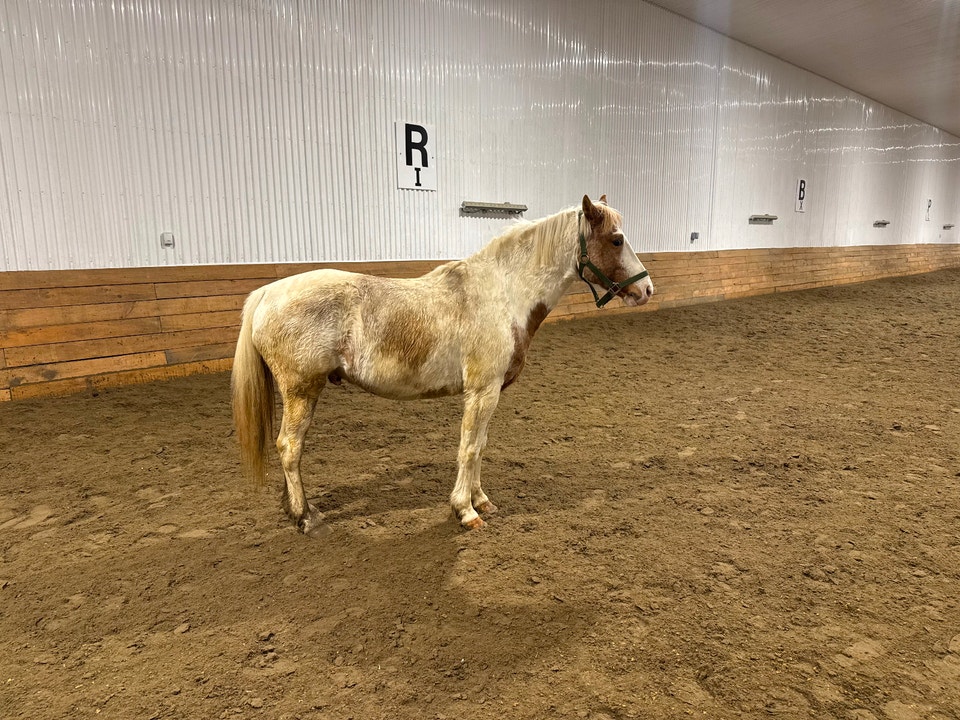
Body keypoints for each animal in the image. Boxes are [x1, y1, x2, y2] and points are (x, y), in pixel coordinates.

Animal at [231, 194, 654, 534]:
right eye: (616, 239)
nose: (646, 289)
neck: (503, 294)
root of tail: (268, 291)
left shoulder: (489, 394)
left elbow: (480, 445)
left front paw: (482, 501)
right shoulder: (482, 391)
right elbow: (468, 448)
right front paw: (465, 512)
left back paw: (296, 509)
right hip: (302, 390)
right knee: (289, 448)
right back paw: (306, 517)